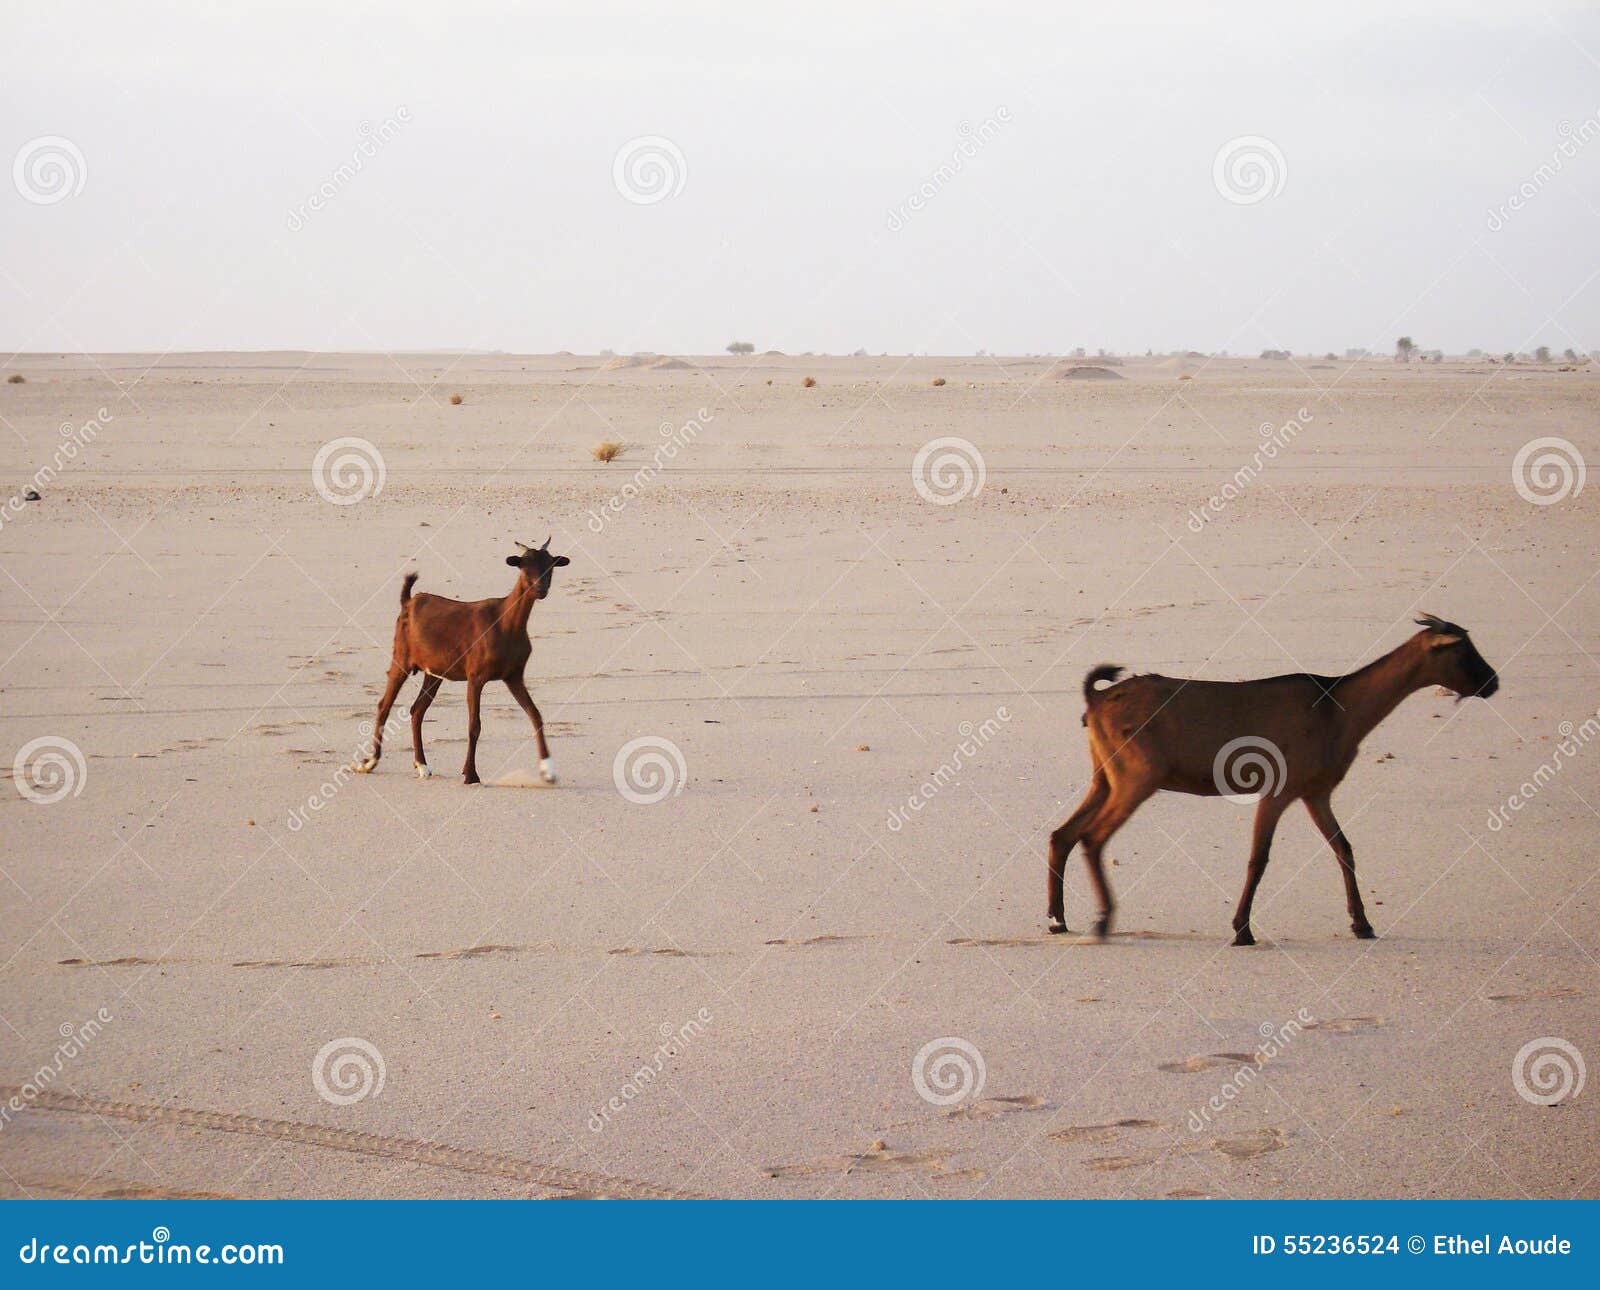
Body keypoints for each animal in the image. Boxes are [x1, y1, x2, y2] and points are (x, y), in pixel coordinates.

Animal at [355, 538, 570, 785]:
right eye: (524, 566)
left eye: (550, 566)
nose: (541, 589)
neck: (505, 622)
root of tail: (408, 602)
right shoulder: (475, 676)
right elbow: (474, 725)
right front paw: (470, 774)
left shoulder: (514, 676)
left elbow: (535, 715)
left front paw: (548, 770)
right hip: (402, 656)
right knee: (384, 704)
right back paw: (370, 762)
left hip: (434, 671)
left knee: (417, 709)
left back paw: (422, 764)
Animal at [1046, 615, 1500, 945]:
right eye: (1462, 652)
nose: (1493, 682)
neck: (1341, 712)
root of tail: (1095, 699)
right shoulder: (1279, 787)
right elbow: (1258, 857)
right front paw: (1242, 930)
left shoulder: (1316, 791)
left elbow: (1344, 849)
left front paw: (1362, 924)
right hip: (1137, 774)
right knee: (1093, 837)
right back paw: (1102, 920)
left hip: (1104, 773)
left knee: (1062, 833)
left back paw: (1057, 919)